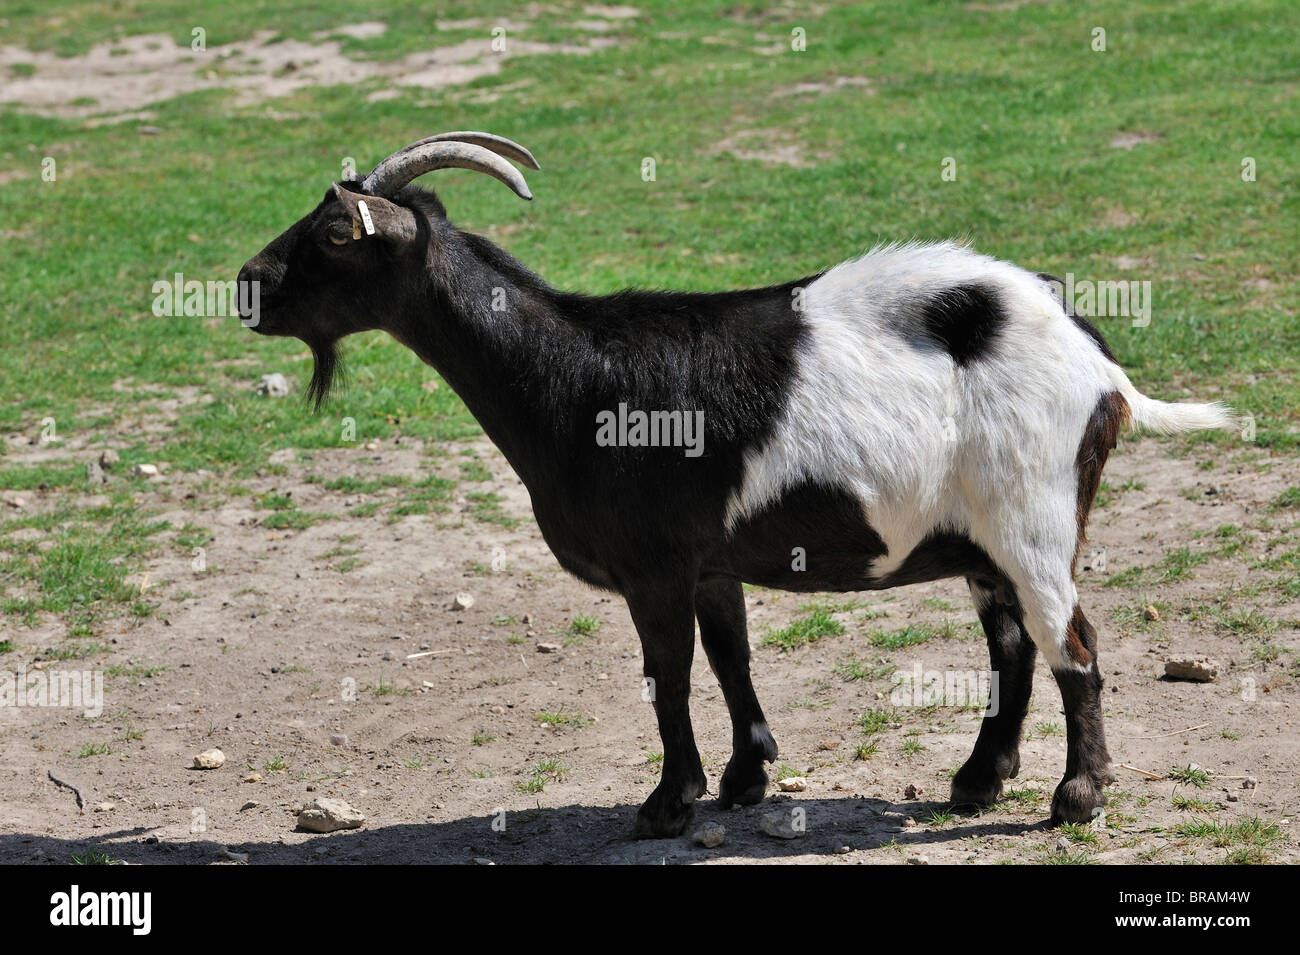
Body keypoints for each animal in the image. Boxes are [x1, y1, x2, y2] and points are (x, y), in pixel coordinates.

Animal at [238, 131, 1234, 838]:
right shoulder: (708, 561)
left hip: (1034, 516)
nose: (247, 284)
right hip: (987, 538)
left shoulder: (653, 566)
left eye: (334, 233)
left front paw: (666, 803)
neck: (574, 376)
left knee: (1073, 644)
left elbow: (668, 675)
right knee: (1013, 646)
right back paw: (976, 781)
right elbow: (730, 659)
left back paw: (1077, 796)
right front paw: (745, 779)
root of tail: (1097, 361)